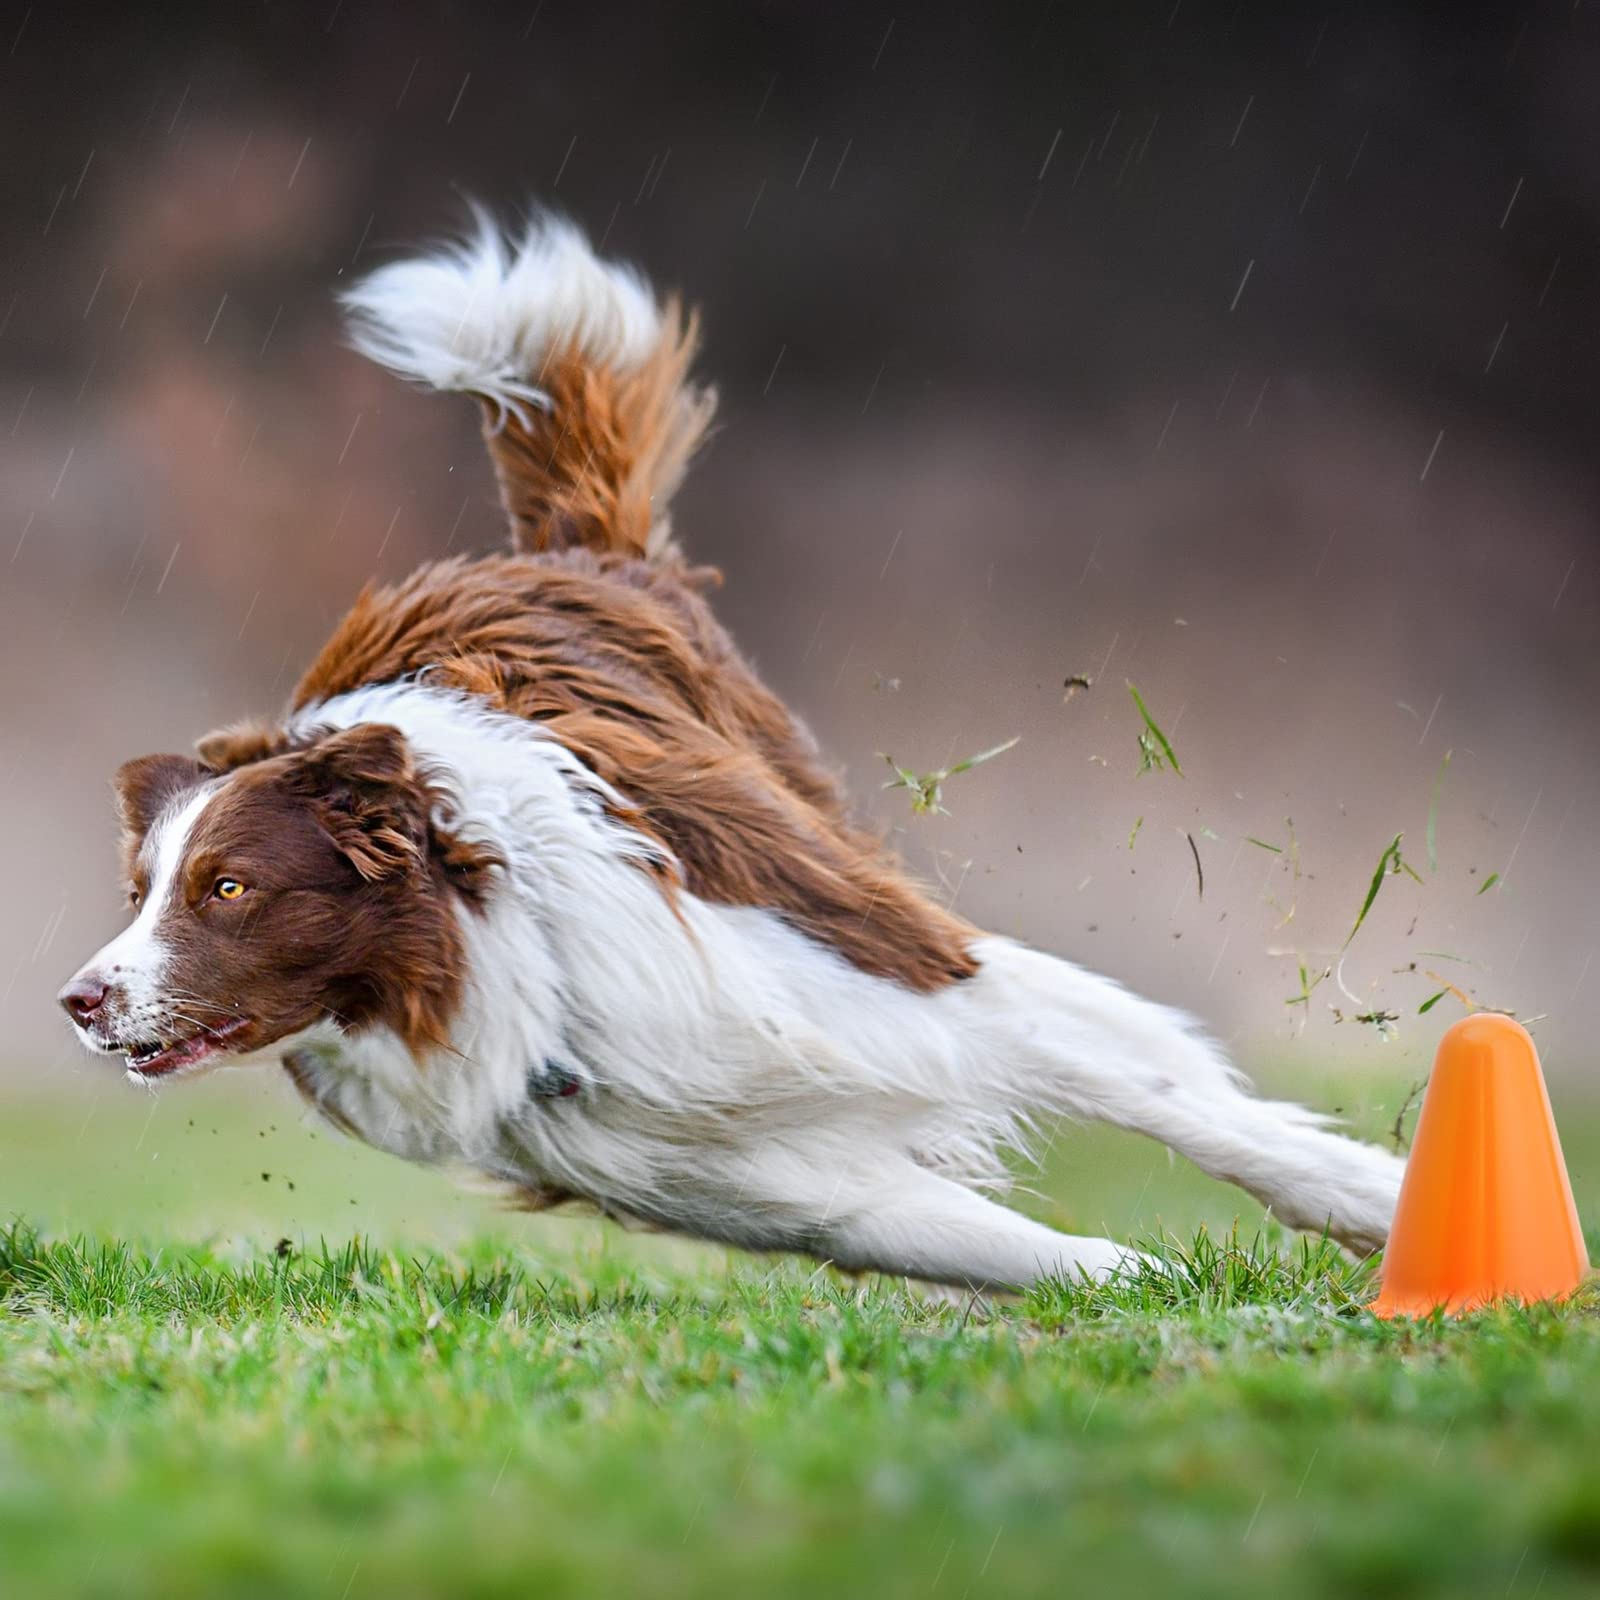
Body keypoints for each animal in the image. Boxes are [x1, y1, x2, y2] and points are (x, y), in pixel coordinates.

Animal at [56, 209, 1401, 1286]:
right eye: (138, 893)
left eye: (230, 887)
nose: (78, 998)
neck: (498, 953)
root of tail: (560, 547)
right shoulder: (732, 1169)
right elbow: (1023, 1250)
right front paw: (1160, 1286)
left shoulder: (899, 964)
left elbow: (1184, 1102)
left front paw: (1384, 1211)